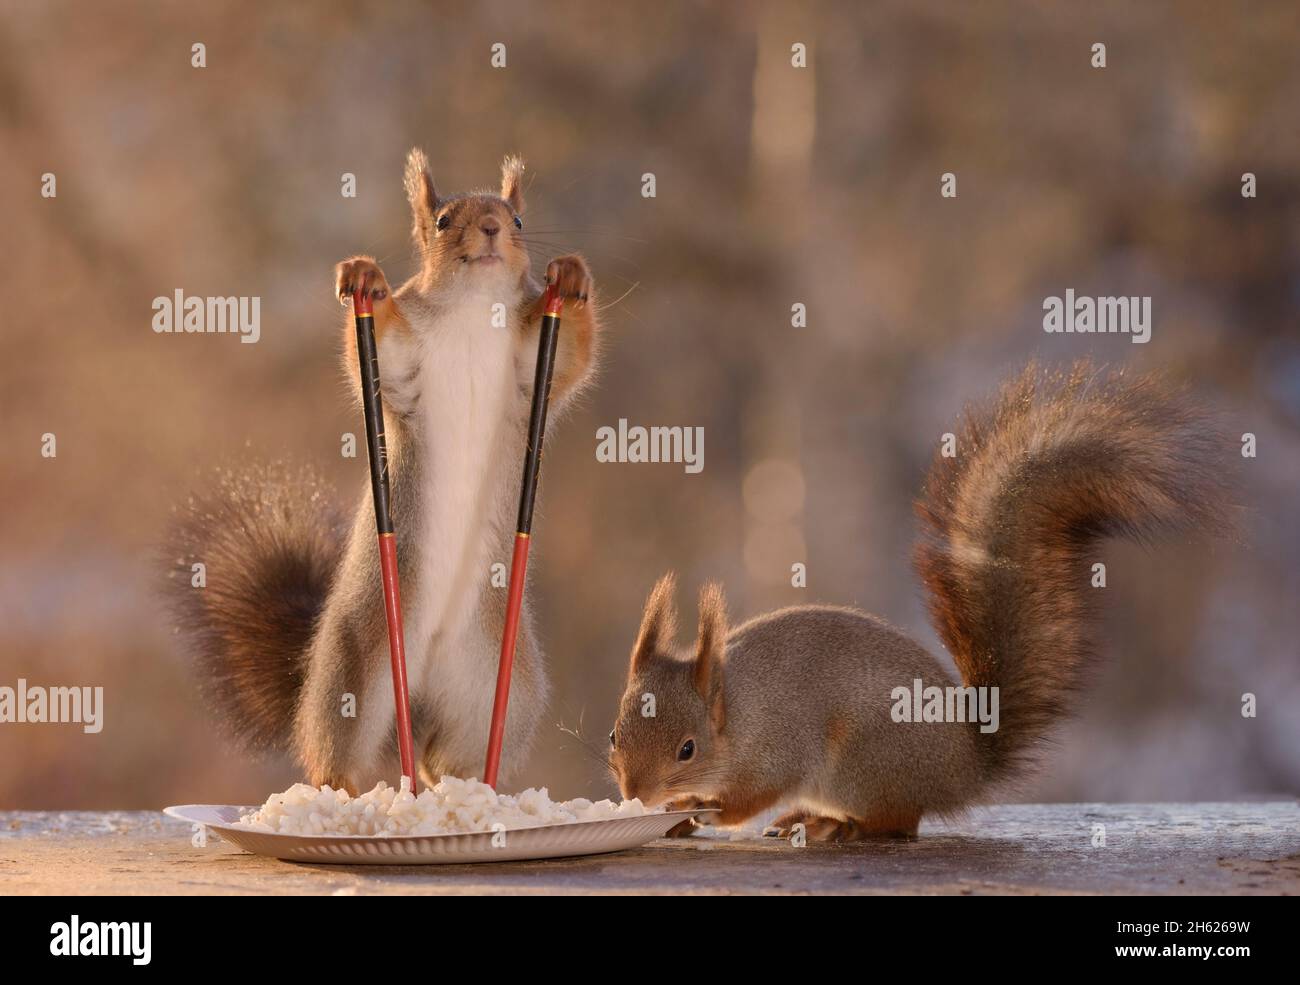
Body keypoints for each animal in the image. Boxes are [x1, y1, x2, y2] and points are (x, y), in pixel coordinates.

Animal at [166, 150, 601, 794]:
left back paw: (465, 790)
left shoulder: (530, 373)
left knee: (449, 756)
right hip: (359, 668)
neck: (474, 309)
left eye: (520, 219)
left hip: (494, 689)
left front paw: (570, 276)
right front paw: (363, 274)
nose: (492, 228)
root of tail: (416, 706)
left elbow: (570, 355)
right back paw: (347, 795)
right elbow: (379, 346)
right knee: (339, 751)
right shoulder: (404, 361)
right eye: (443, 221)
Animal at [607, 362, 1233, 840]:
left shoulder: (782, 746)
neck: (735, 711)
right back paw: (808, 818)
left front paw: (703, 810)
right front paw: (677, 814)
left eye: (688, 749)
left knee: (899, 824)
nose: (634, 791)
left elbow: (751, 797)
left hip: (864, 763)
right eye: (614, 736)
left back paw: (841, 827)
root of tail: (963, 772)